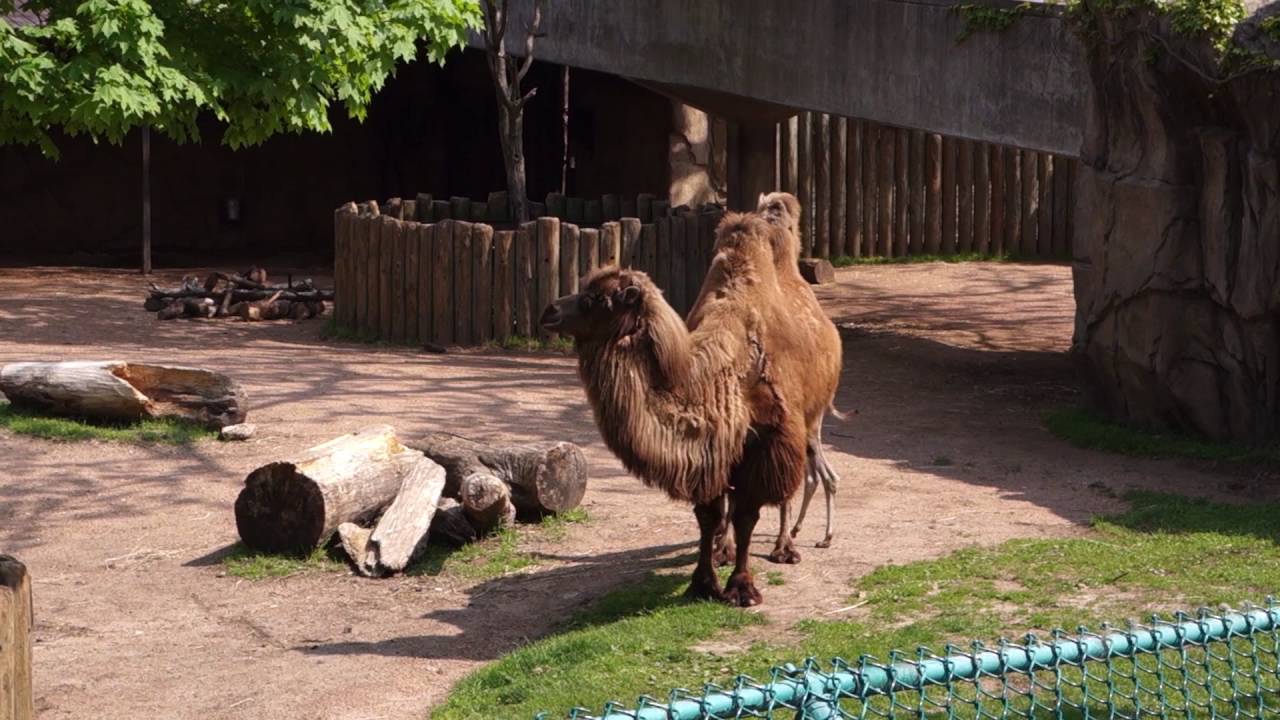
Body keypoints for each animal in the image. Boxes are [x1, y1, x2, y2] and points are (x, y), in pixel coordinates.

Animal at [541, 213, 806, 606]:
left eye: (597, 299)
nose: (550, 310)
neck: (718, 382)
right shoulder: (710, 452)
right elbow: (708, 515)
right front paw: (703, 583)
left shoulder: (764, 445)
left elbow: (747, 516)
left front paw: (742, 588)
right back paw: (725, 550)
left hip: (805, 426)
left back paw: (784, 548)